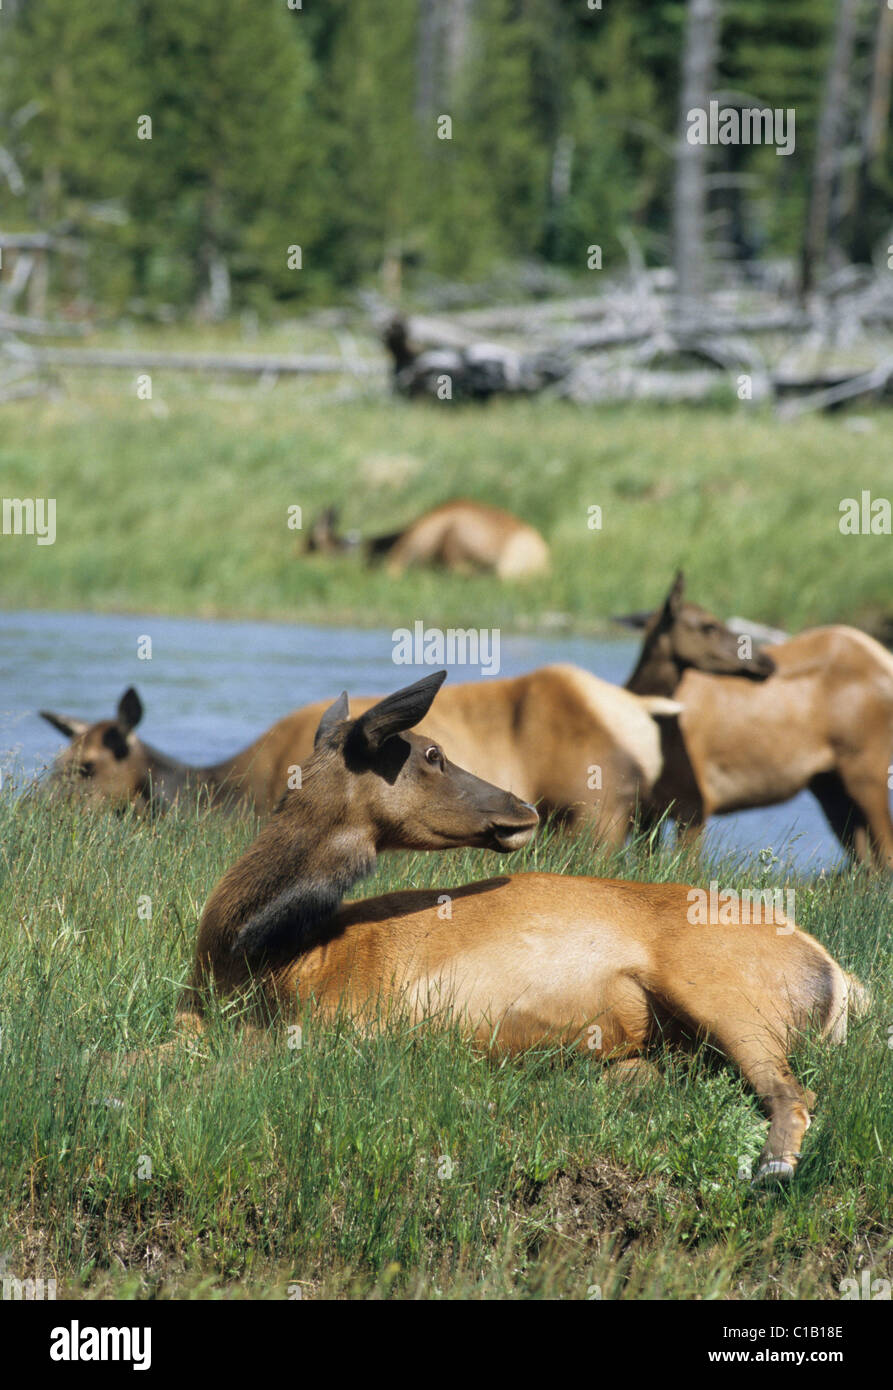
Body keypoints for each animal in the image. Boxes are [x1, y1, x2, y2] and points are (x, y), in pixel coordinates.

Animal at [181, 670, 867, 1186]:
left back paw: (774, 1167)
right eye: (432, 754)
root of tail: (841, 977)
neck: (257, 958)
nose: (523, 808)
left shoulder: (345, 1027)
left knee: (792, 1092)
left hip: (727, 992)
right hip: (673, 1042)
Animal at [617, 572, 893, 870]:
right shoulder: (646, 811)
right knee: (865, 863)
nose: (766, 662)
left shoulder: (696, 803)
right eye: (708, 626)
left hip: (867, 767)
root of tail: (884, 659)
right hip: (830, 784)